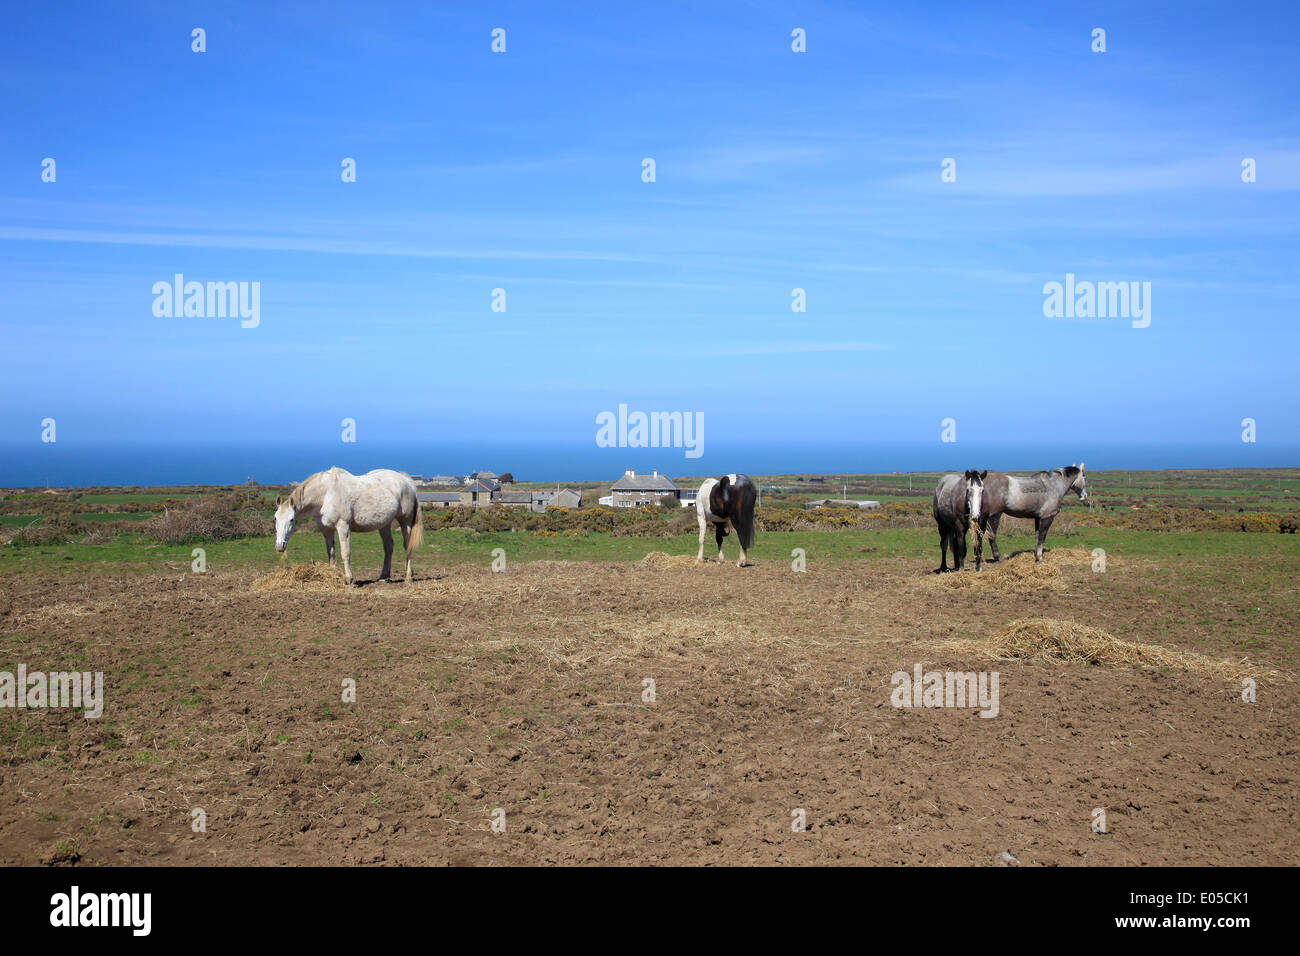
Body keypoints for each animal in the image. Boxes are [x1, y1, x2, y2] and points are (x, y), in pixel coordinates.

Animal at [273, 467, 424, 585]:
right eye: (275, 519)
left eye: (292, 519)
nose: (280, 546)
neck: (326, 494)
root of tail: (407, 481)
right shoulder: (326, 530)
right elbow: (331, 552)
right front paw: (333, 575)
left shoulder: (343, 526)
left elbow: (345, 552)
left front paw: (348, 579)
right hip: (384, 524)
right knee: (388, 547)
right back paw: (383, 576)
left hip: (405, 521)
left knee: (407, 545)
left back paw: (408, 577)